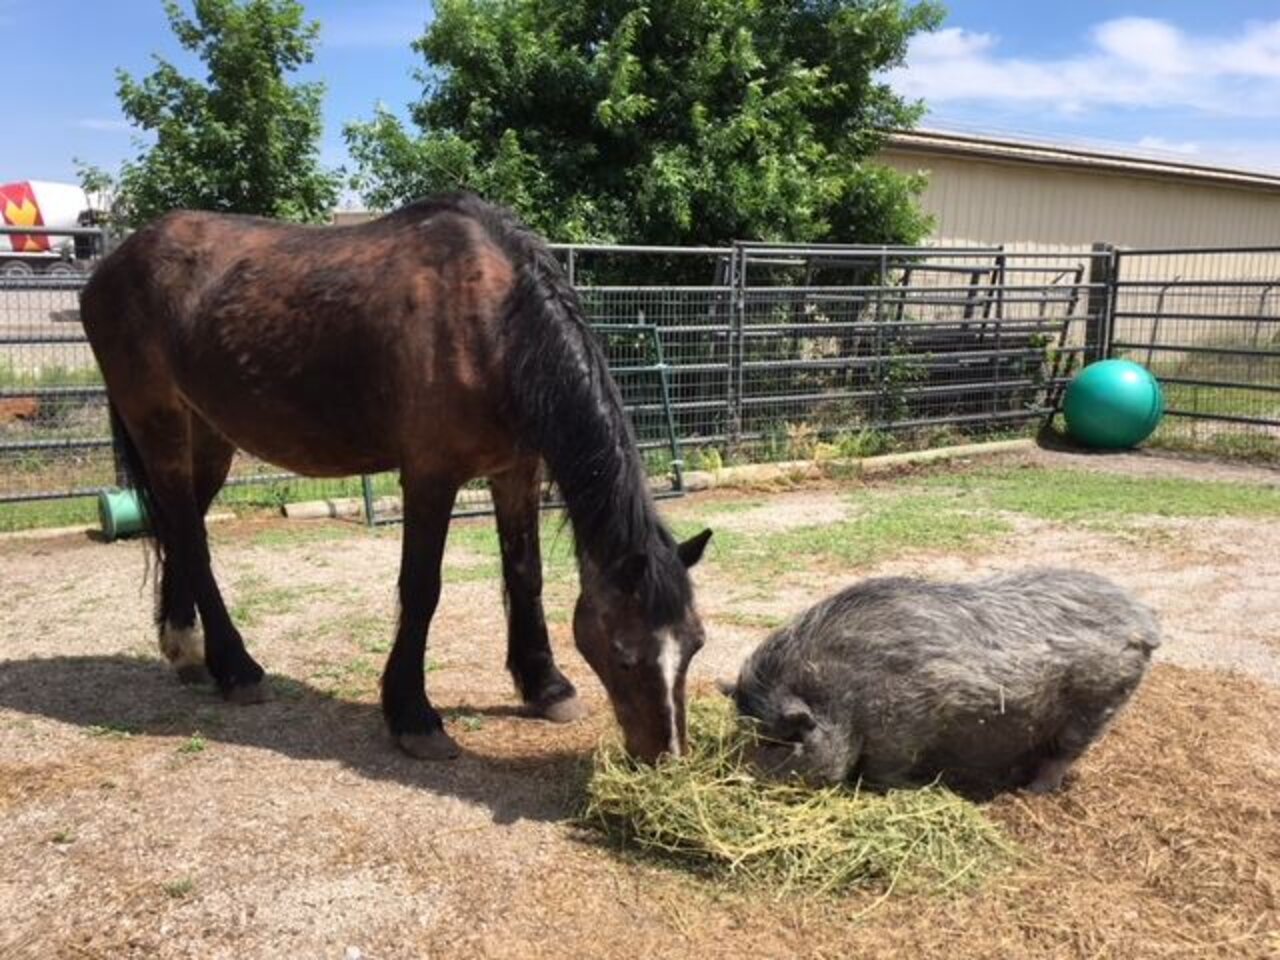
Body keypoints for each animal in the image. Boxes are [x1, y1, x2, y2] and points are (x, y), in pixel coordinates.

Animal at [79, 191, 712, 762]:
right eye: (624, 653)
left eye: (696, 645)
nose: (665, 756)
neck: (493, 322)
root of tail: (109, 267)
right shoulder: (431, 475)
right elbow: (422, 588)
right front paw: (414, 716)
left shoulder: (516, 469)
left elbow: (525, 574)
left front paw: (546, 686)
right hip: (158, 423)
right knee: (189, 536)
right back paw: (236, 669)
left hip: (209, 435)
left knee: (180, 525)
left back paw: (184, 648)